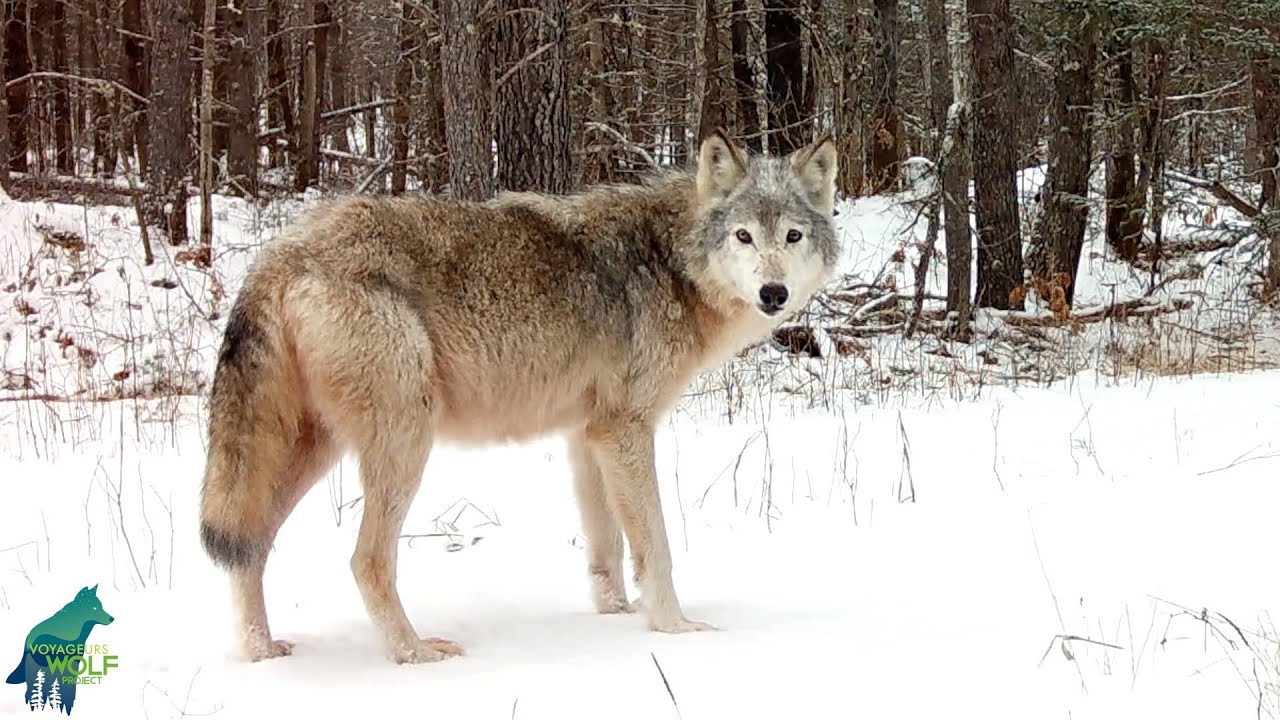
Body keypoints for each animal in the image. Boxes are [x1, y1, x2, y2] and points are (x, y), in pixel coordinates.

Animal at [198, 129, 841, 665]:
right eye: (743, 236)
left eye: (792, 236)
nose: (774, 292)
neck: (668, 260)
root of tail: (279, 254)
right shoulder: (627, 430)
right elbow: (655, 543)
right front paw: (675, 628)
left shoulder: (590, 435)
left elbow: (607, 548)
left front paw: (616, 616)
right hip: (405, 445)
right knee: (365, 560)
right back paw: (414, 653)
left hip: (309, 450)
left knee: (250, 545)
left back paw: (261, 652)